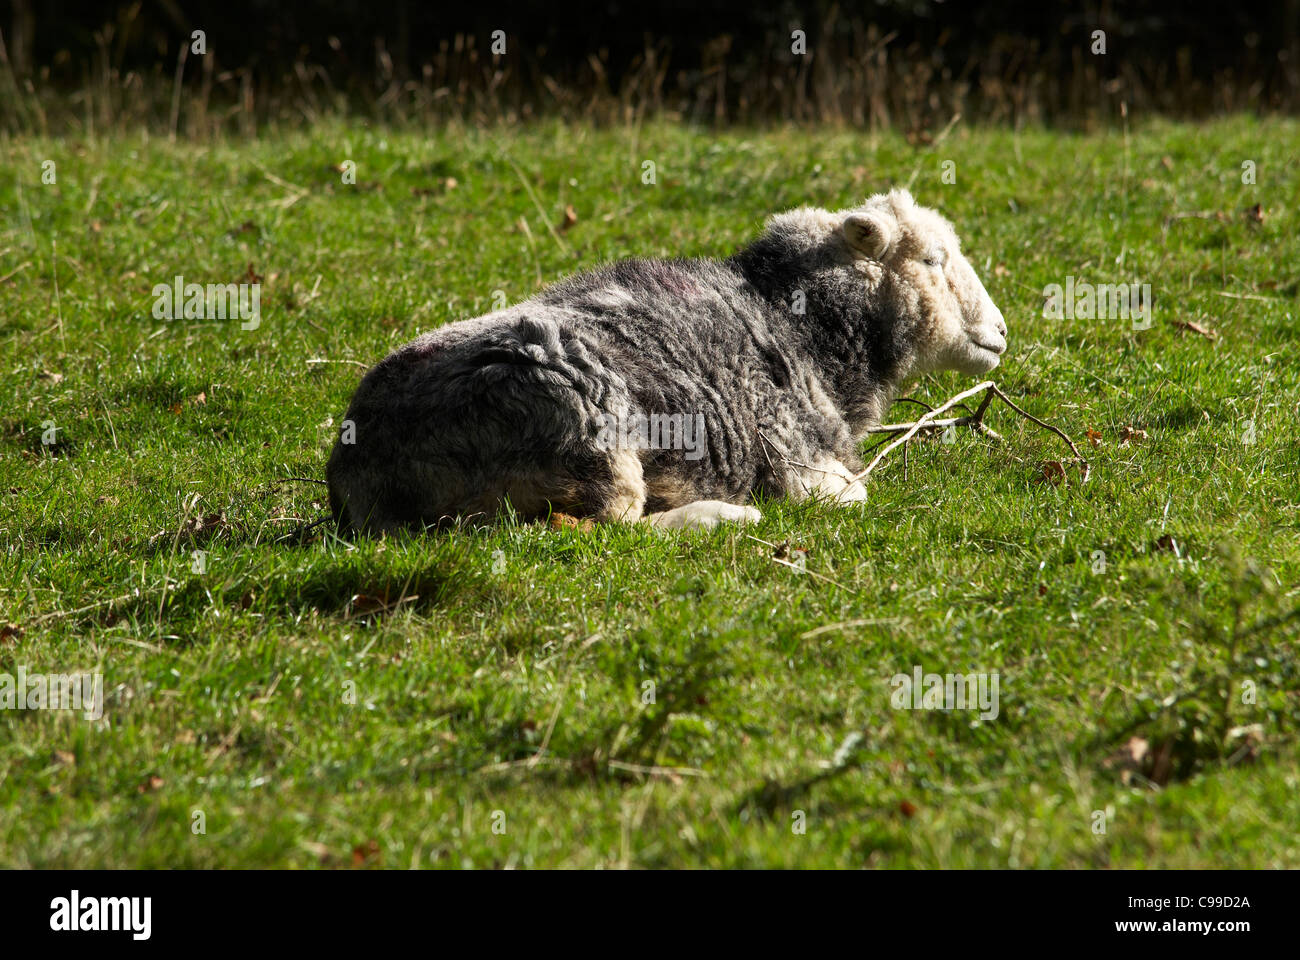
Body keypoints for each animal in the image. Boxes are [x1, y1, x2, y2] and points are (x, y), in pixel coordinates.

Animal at [326, 188, 1007, 533]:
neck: (800, 324)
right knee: (604, 532)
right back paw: (723, 516)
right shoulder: (801, 464)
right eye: (933, 260)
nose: (1001, 332)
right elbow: (851, 496)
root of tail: (357, 467)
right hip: (590, 440)